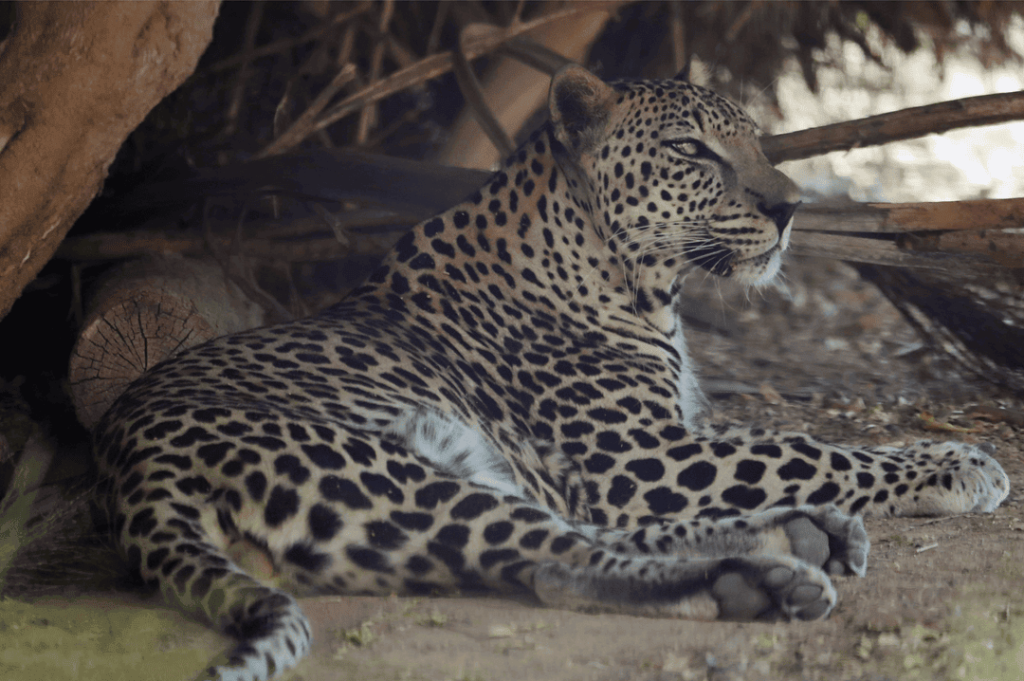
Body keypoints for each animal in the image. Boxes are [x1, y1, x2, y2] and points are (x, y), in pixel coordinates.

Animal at [92, 65, 1009, 681]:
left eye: (754, 140)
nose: (791, 209)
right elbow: (804, 446)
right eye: (693, 150)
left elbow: (784, 435)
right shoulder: (640, 458)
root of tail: (129, 461)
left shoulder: (676, 434)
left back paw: (800, 535)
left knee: (561, 541)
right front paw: (958, 463)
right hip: (379, 471)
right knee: (553, 560)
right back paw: (764, 575)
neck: (641, 284)